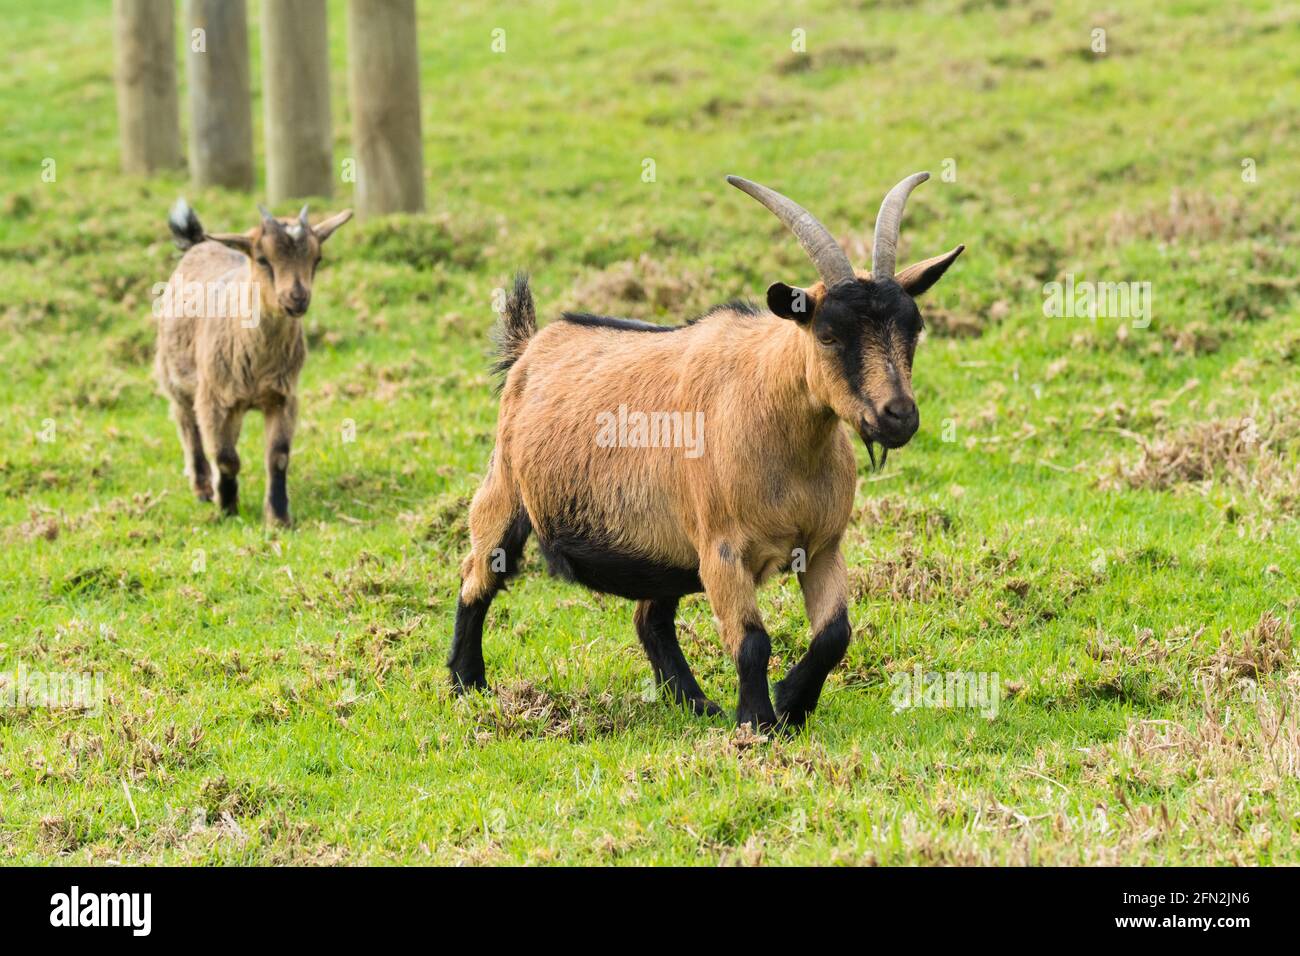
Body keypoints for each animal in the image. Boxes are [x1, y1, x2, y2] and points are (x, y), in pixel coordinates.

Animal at [155, 200, 352, 525]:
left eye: (317, 258)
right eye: (262, 259)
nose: (297, 298)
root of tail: (199, 242)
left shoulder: (282, 397)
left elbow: (278, 457)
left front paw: (278, 517)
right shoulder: (213, 398)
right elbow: (225, 458)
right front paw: (227, 508)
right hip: (175, 379)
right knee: (188, 425)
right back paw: (202, 487)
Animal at [451, 173, 963, 730]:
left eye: (914, 328)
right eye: (828, 335)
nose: (899, 416)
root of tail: (528, 348)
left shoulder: (823, 545)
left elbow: (834, 634)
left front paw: (792, 704)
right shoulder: (722, 549)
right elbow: (753, 642)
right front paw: (758, 724)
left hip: (663, 546)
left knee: (650, 618)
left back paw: (694, 701)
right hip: (504, 487)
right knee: (477, 576)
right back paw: (465, 684)